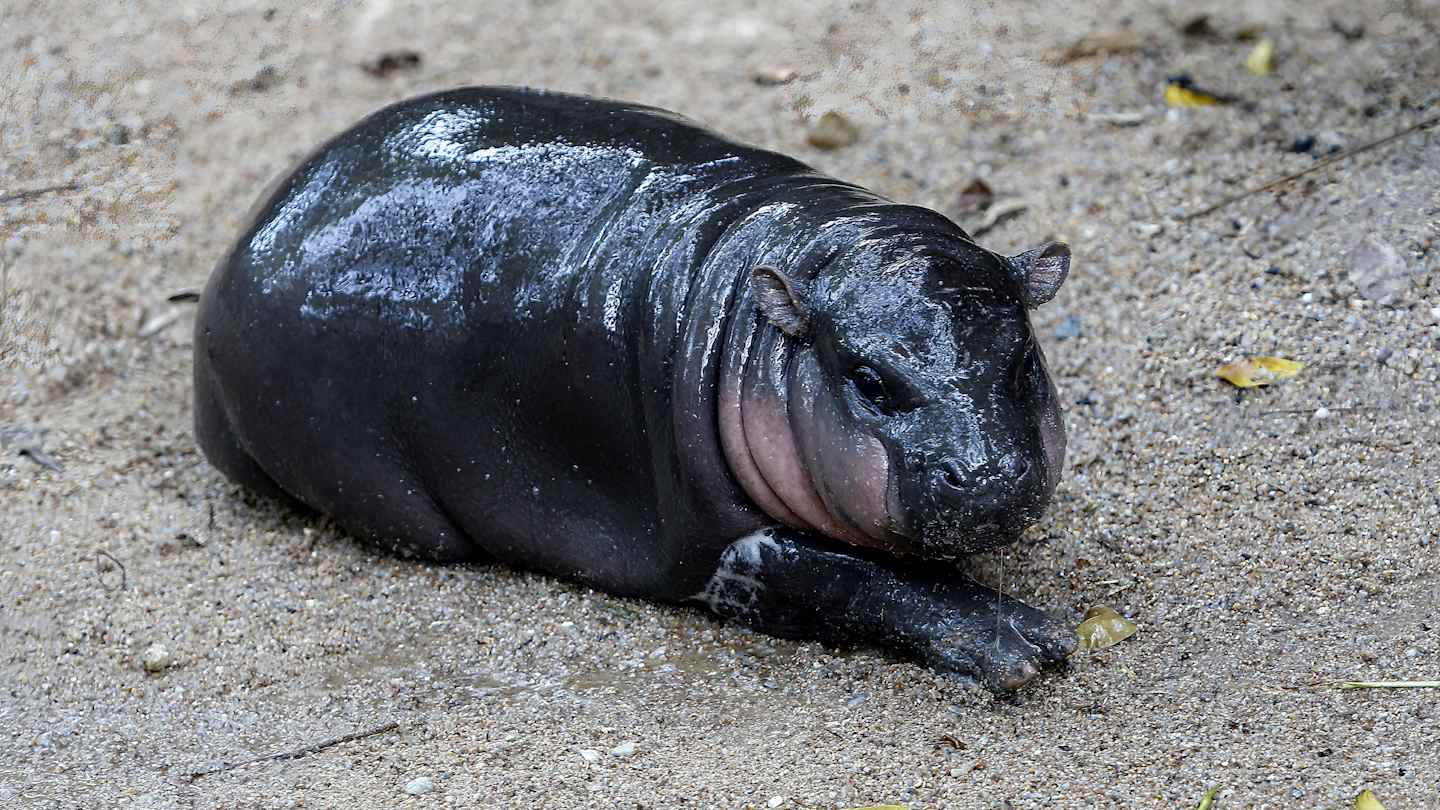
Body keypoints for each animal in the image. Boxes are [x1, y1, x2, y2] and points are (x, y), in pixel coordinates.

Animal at [194, 86, 1076, 691]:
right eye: (868, 380)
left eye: (1024, 361)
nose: (989, 473)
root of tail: (245, 243)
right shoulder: (726, 554)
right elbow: (856, 578)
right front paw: (1020, 642)